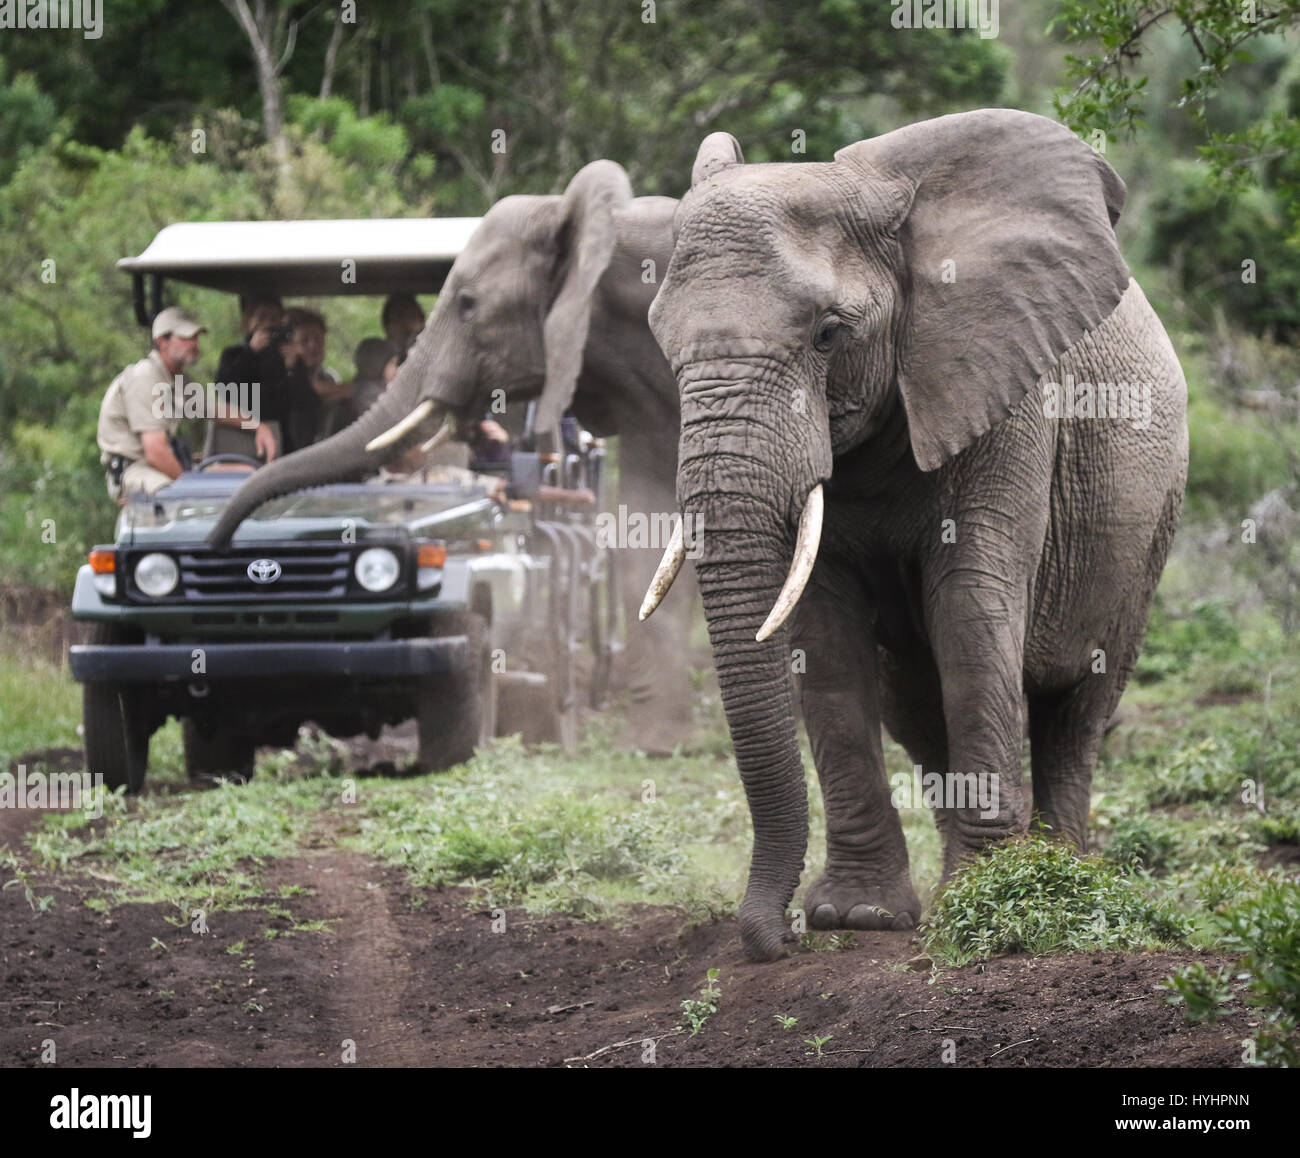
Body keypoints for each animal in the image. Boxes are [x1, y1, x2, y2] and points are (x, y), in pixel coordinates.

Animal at [641, 109, 1189, 962]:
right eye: (660, 341)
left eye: (829, 335)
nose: (771, 939)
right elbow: (826, 643)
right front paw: (859, 918)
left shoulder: (1009, 397)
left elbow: (971, 613)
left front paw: (987, 903)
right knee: (916, 711)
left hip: (1151, 522)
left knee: (1078, 711)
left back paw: (1058, 870)